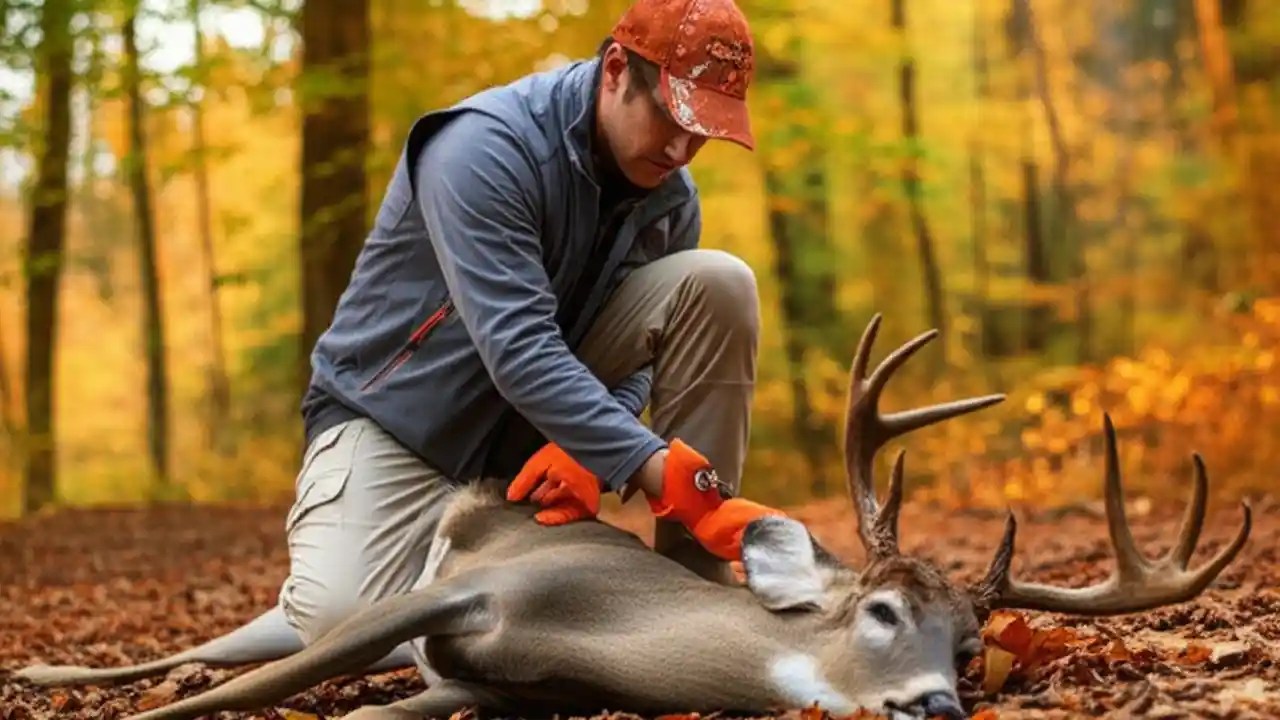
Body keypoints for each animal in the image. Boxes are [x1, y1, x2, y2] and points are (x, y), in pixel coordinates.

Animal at [14, 314, 1252, 720]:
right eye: (882, 612)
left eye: (970, 648)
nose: (933, 706)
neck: (598, 629)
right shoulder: (457, 590)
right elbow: (226, 699)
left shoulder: (488, 693)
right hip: (334, 588)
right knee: (222, 648)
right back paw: (43, 672)